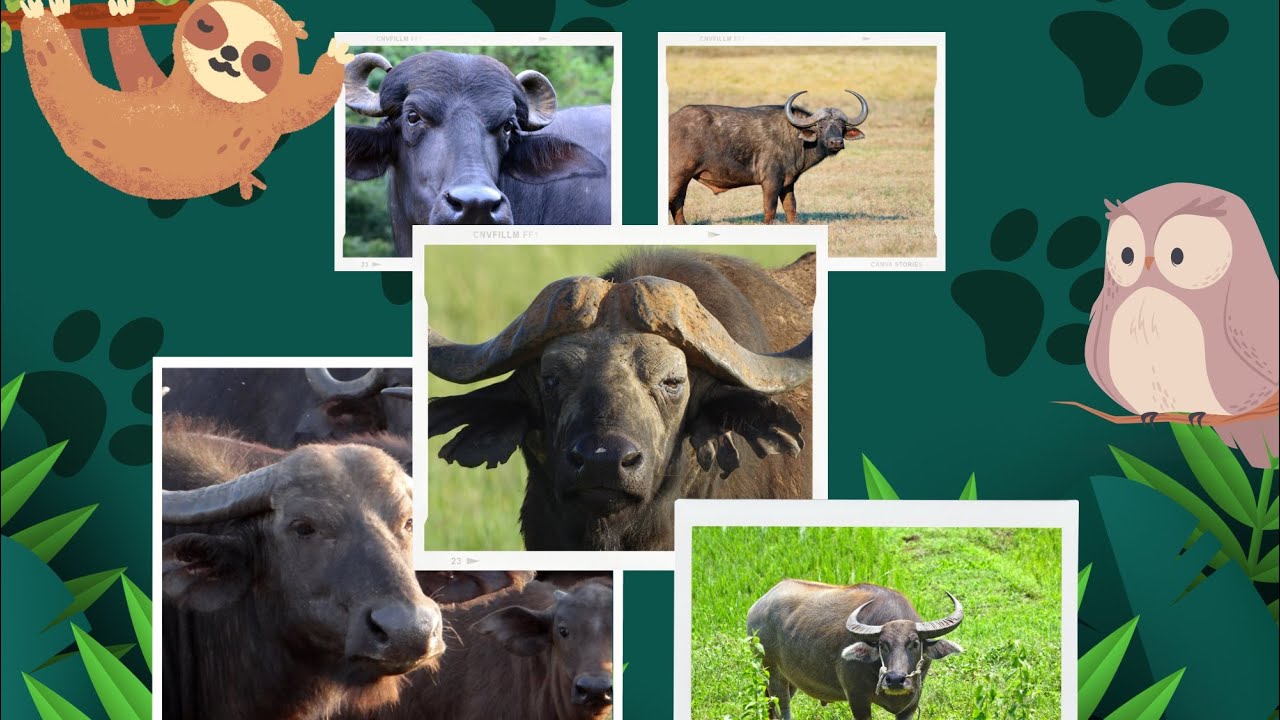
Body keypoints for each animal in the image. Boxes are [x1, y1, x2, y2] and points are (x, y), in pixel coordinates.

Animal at [668, 90, 868, 224]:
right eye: (821, 126)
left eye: (841, 126)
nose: (836, 142)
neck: (793, 136)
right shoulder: (771, 181)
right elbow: (770, 208)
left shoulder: (788, 183)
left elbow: (791, 207)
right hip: (677, 176)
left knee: (677, 203)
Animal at [747, 580, 964, 720]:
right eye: (882, 644)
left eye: (915, 643)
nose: (895, 680)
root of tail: (757, 606)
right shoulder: (857, 700)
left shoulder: (910, 705)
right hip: (772, 672)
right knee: (781, 709)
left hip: (790, 679)